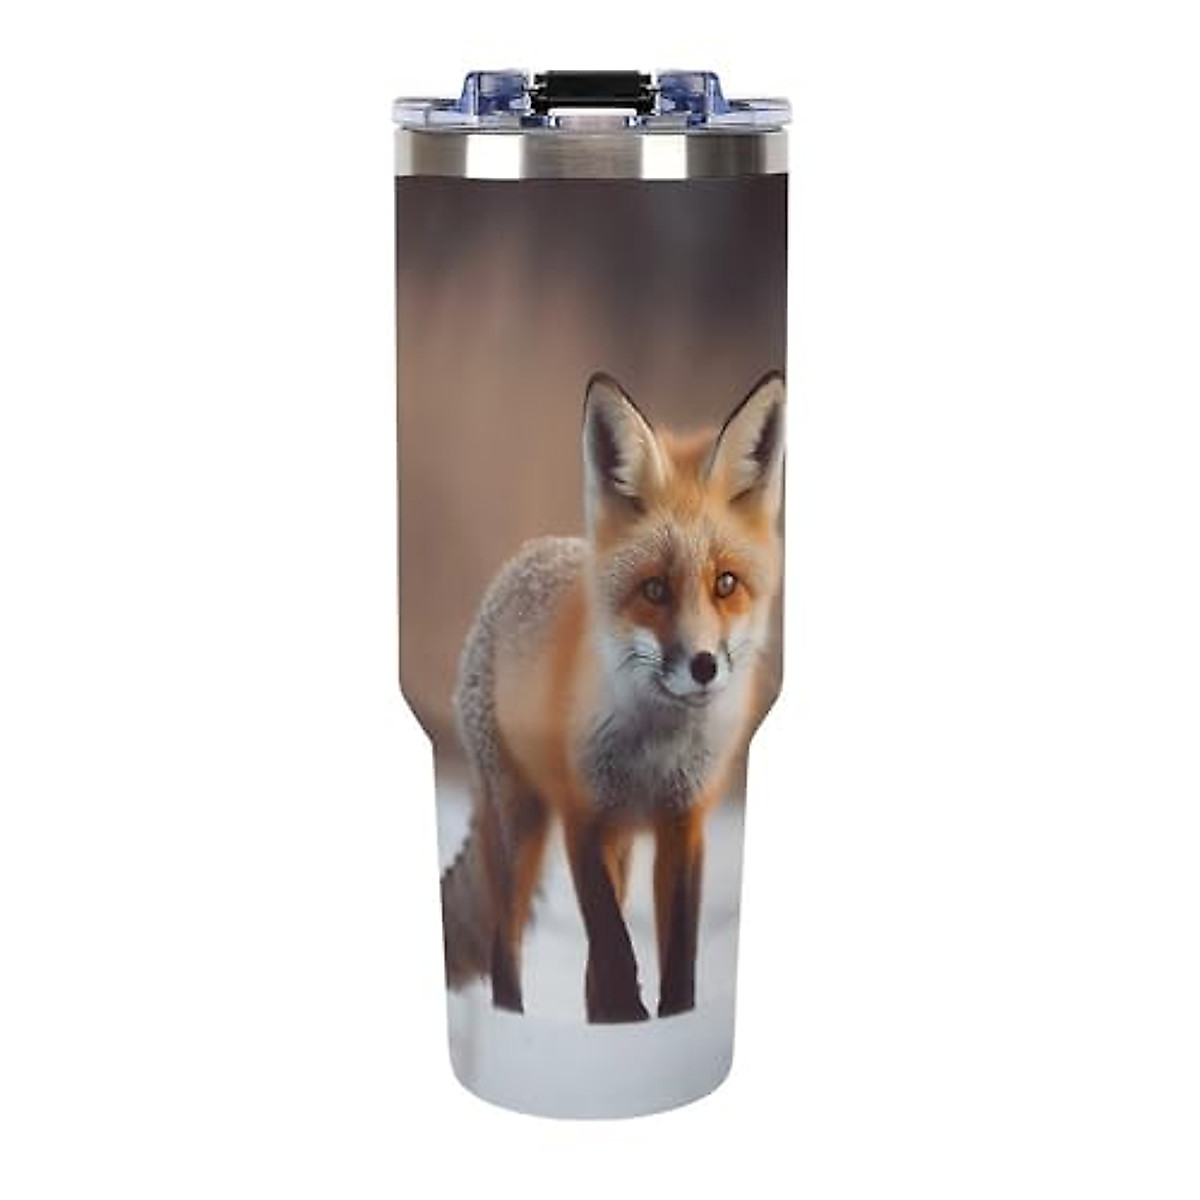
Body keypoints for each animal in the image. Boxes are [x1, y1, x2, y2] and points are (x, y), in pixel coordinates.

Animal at [440, 370, 785, 1023]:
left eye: (726, 583)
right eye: (654, 590)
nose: (704, 666)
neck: (657, 747)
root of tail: (524, 556)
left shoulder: (684, 820)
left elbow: (676, 955)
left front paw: (664, 1025)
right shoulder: (583, 813)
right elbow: (615, 948)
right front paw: (631, 1021)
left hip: (617, 842)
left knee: (586, 972)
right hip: (521, 826)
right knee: (505, 942)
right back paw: (514, 1022)